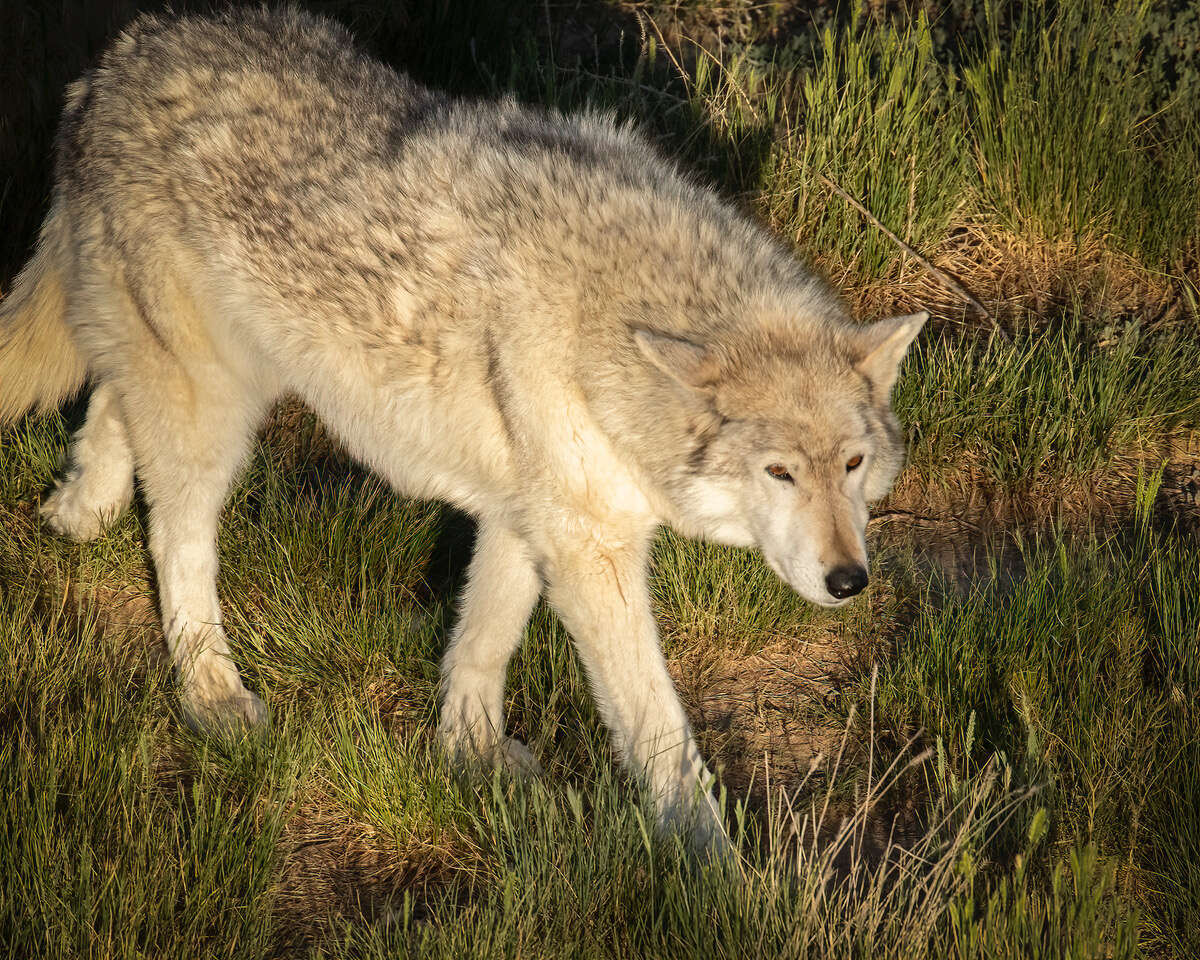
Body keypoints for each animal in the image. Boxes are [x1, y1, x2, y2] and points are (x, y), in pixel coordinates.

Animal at [0, 7, 924, 850]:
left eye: (850, 465)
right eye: (780, 474)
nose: (851, 581)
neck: (611, 322)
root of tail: (119, 58)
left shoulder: (528, 517)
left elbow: (485, 641)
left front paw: (468, 755)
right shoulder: (591, 553)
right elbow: (661, 738)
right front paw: (713, 874)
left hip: (206, 380)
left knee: (111, 407)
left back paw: (80, 512)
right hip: (216, 419)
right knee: (175, 540)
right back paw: (210, 695)